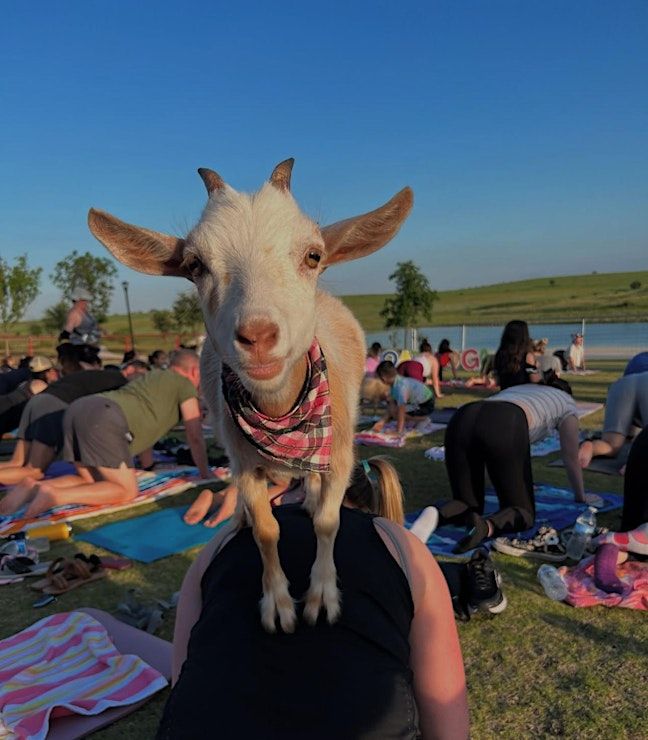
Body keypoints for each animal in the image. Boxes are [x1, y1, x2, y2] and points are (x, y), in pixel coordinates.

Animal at [88, 160, 413, 632]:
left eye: (313, 255)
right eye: (195, 264)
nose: (257, 336)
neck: (280, 413)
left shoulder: (339, 454)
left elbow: (328, 522)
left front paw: (321, 597)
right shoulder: (243, 462)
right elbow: (265, 530)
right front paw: (278, 604)